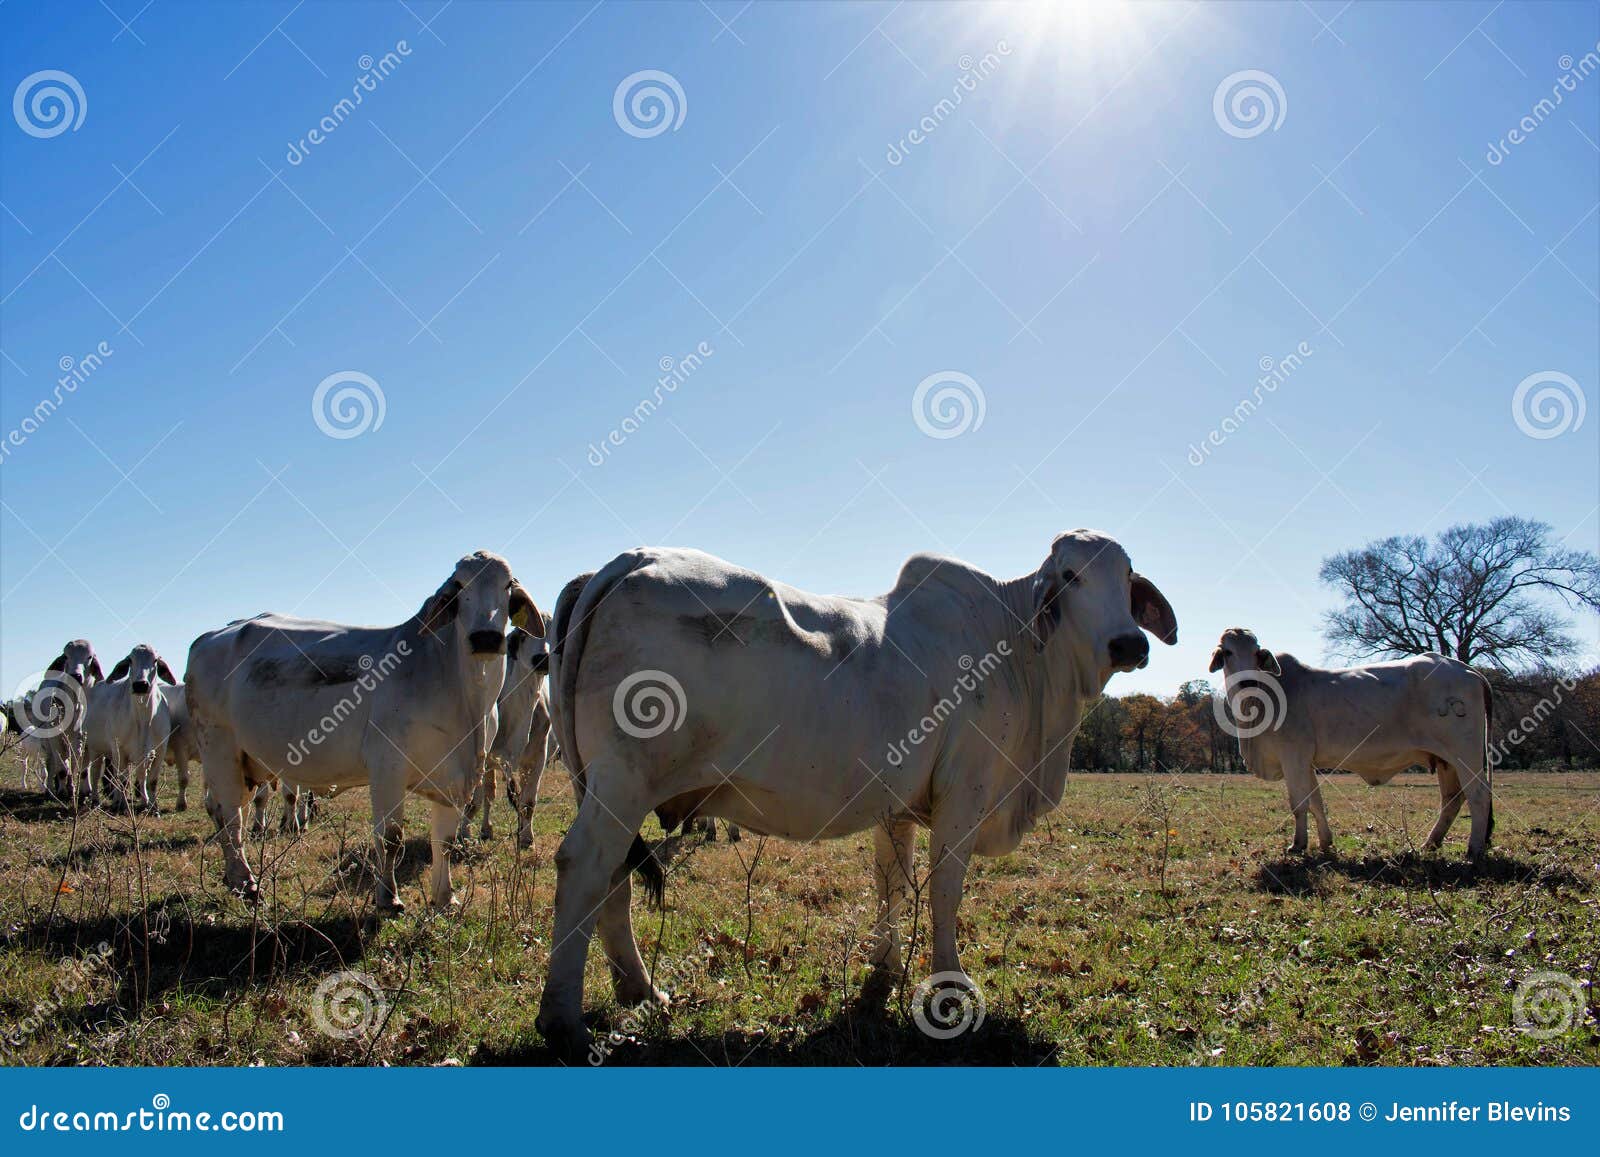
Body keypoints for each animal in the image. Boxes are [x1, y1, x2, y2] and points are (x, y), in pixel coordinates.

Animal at [84, 645, 180, 813]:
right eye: (130, 660)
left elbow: (149, 780)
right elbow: (122, 780)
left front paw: (152, 806)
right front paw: (123, 806)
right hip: (96, 748)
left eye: (155, 660)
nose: (140, 684)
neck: (143, 717)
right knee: (96, 774)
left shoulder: (158, 751)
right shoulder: (120, 750)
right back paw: (97, 800)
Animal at [185, 550, 541, 911]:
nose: (486, 637)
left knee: (230, 814)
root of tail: (213, 635)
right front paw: (388, 898)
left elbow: (445, 840)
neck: (463, 694)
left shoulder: (455, 777)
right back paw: (246, 884)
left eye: (507, 585)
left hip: (247, 763)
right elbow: (391, 838)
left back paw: (234, 879)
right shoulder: (387, 768)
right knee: (229, 817)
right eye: (459, 586)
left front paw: (445, 897)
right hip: (219, 748)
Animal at [534, 530, 1177, 1052]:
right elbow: (945, 890)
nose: (1129, 644)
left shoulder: (898, 808)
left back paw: (640, 991)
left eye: (1126, 576)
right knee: (584, 867)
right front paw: (951, 987)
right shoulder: (963, 796)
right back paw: (563, 1020)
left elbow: (891, 882)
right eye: (1069, 576)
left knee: (612, 879)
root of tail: (625, 561)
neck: (1020, 651)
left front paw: (884, 972)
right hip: (624, 781)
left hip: (599, 787)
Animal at [1207, 627, 1493, 859]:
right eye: (1228, 652)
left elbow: (1299, 804)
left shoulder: (1293, 757)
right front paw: (1325, 842)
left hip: (1464, 754)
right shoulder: (1306, 762)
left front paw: (1298, 845)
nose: (1247, 681)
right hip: (1446, 761)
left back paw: (1474, 849)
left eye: (1256, 653)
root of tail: (1468, 669)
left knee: (1478, 795)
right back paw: (1430, 844)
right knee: (1452, 799)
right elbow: (1316, 803)